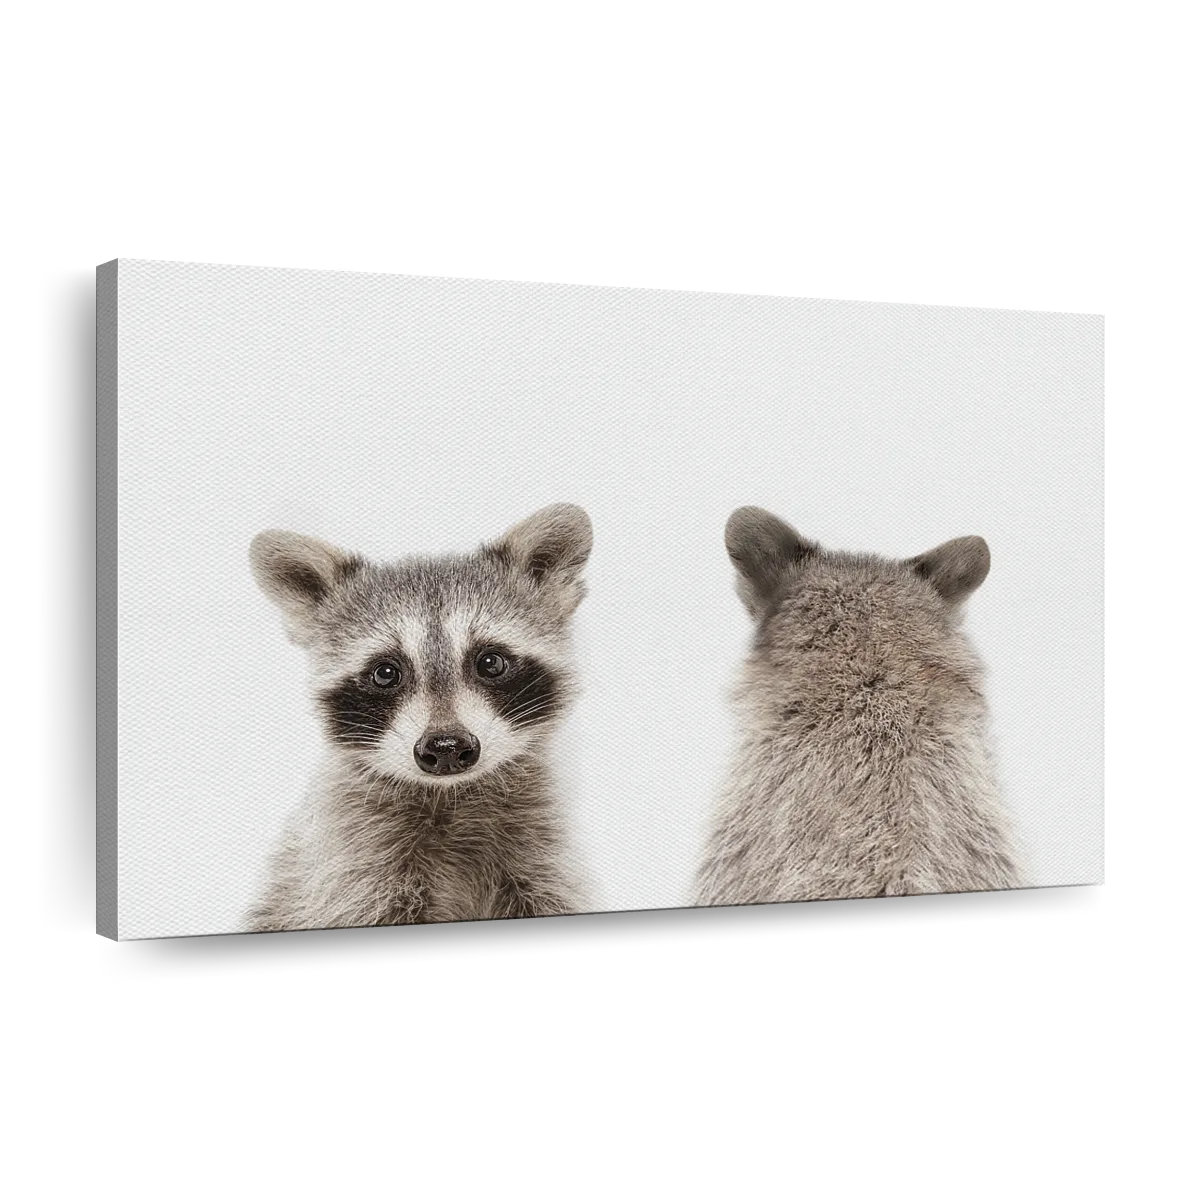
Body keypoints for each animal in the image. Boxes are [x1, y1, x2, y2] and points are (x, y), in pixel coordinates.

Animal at [245, 504, 592, 932]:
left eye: (491, 662)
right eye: (385, 673)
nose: (446, 747)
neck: (450, 794)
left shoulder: (541, 854)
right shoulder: (353, 866)